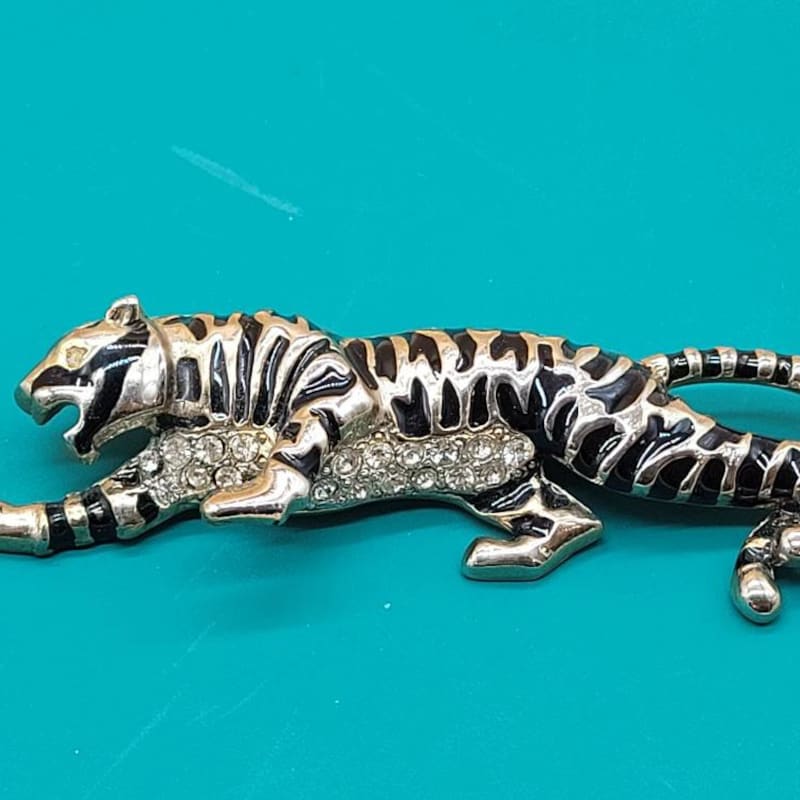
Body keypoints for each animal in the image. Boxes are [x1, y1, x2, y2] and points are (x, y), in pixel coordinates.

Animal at [3, 294, 800, 625]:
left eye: (67, 360)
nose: (21, 389)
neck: (196, 385)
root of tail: (639, 368)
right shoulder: (152, 484)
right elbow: (70, 516)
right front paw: (13, 518)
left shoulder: (332, 381)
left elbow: (300, 440)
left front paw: (263, 494)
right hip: (510, 480)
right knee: (576, 522)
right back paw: (505, 556)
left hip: (627, 440)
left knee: (771, 463)